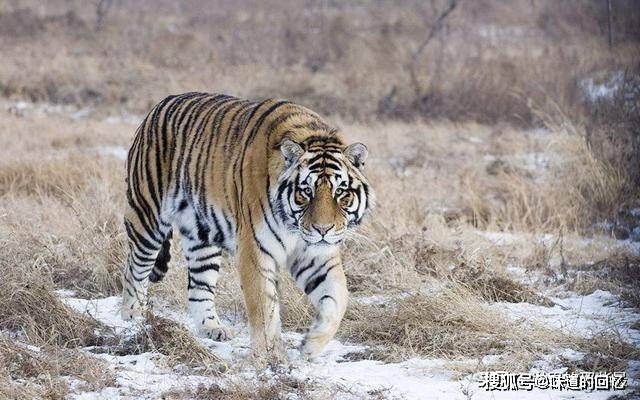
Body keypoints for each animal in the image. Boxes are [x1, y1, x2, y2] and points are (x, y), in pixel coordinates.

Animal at [121, 92, 373, 360]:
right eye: (306, 191)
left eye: (340, 192)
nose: (323, 229)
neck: (294, 228)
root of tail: (159, 105)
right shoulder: (255, 250)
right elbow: (263, 307)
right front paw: (268, 356)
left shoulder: (317, 254)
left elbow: (338, 298)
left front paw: (310, 345)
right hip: (146, 217)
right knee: (134, 270)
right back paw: (133, 318)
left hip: (202, 237)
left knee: (199, 287)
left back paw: (212, 328)